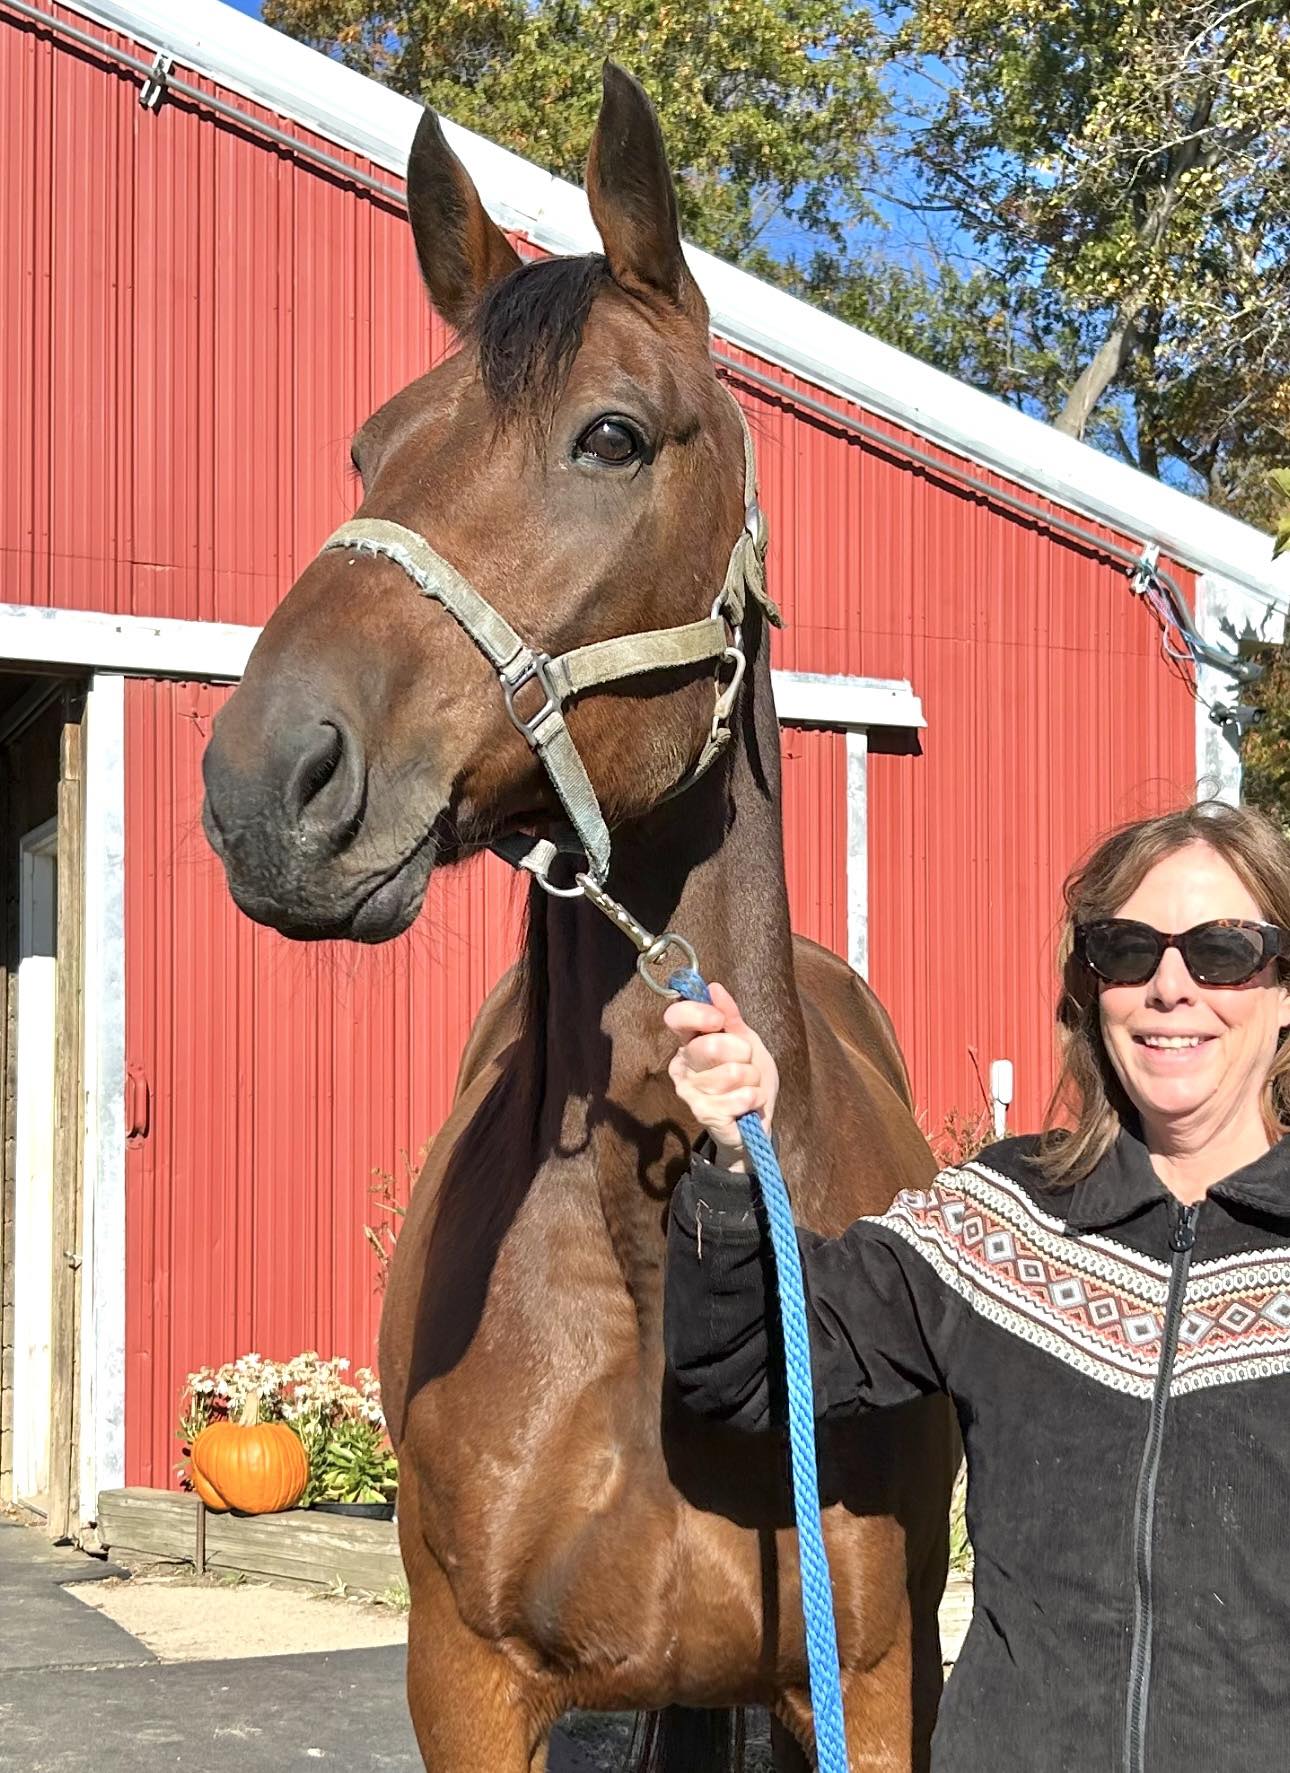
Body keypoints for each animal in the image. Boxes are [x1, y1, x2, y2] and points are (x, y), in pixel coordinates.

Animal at [201, 63, 956, 1773]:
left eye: (610, 435)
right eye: (368, 452)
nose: (264, 783)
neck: (654, 1259)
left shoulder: (878, 1685)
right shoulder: (468, 1683)